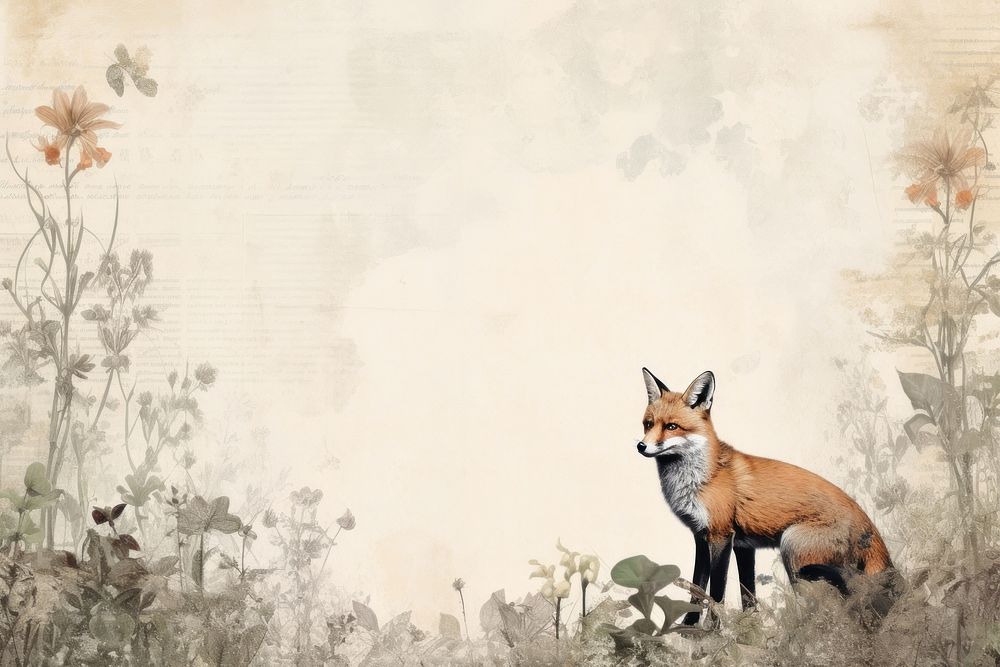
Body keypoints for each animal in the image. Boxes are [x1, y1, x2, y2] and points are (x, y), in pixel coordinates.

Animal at [637, 367, 897, 626]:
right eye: (648, 424)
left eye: (672, 426)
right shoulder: (714, 540)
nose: (641, 446)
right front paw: (693, 626)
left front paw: (713, 630)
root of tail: (870, 528)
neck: (702, 478)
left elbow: (716, 594)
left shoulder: (721, 536)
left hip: (794, 553)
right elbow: (708, 589)